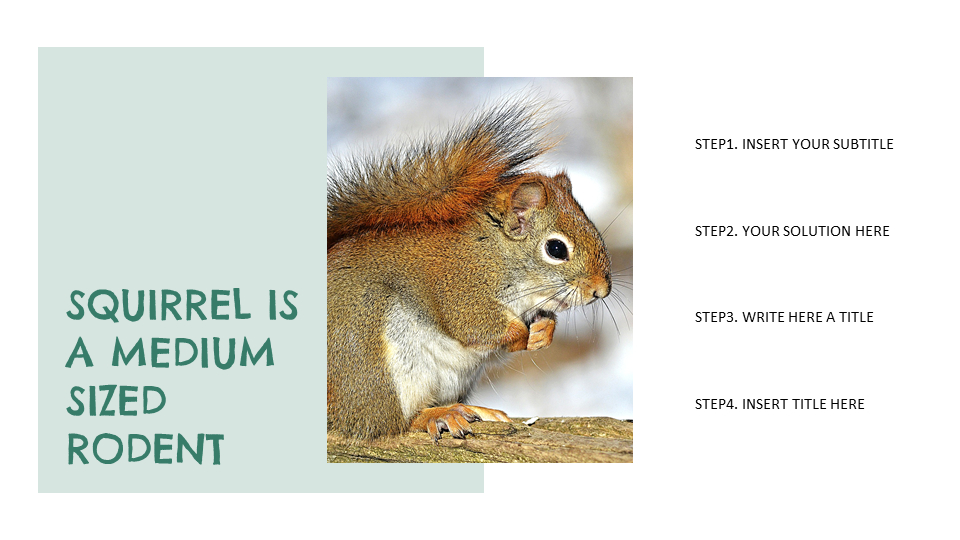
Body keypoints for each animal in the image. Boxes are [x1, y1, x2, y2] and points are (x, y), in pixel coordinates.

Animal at [327, 97, 612, 442]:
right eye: (556, 249)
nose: (601, 290)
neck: (494, 252)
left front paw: (544, 331)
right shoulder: (459, 285)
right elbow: (474, 325)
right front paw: (522, 334)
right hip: (370, 360)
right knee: (390, 423)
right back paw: (439, 415)